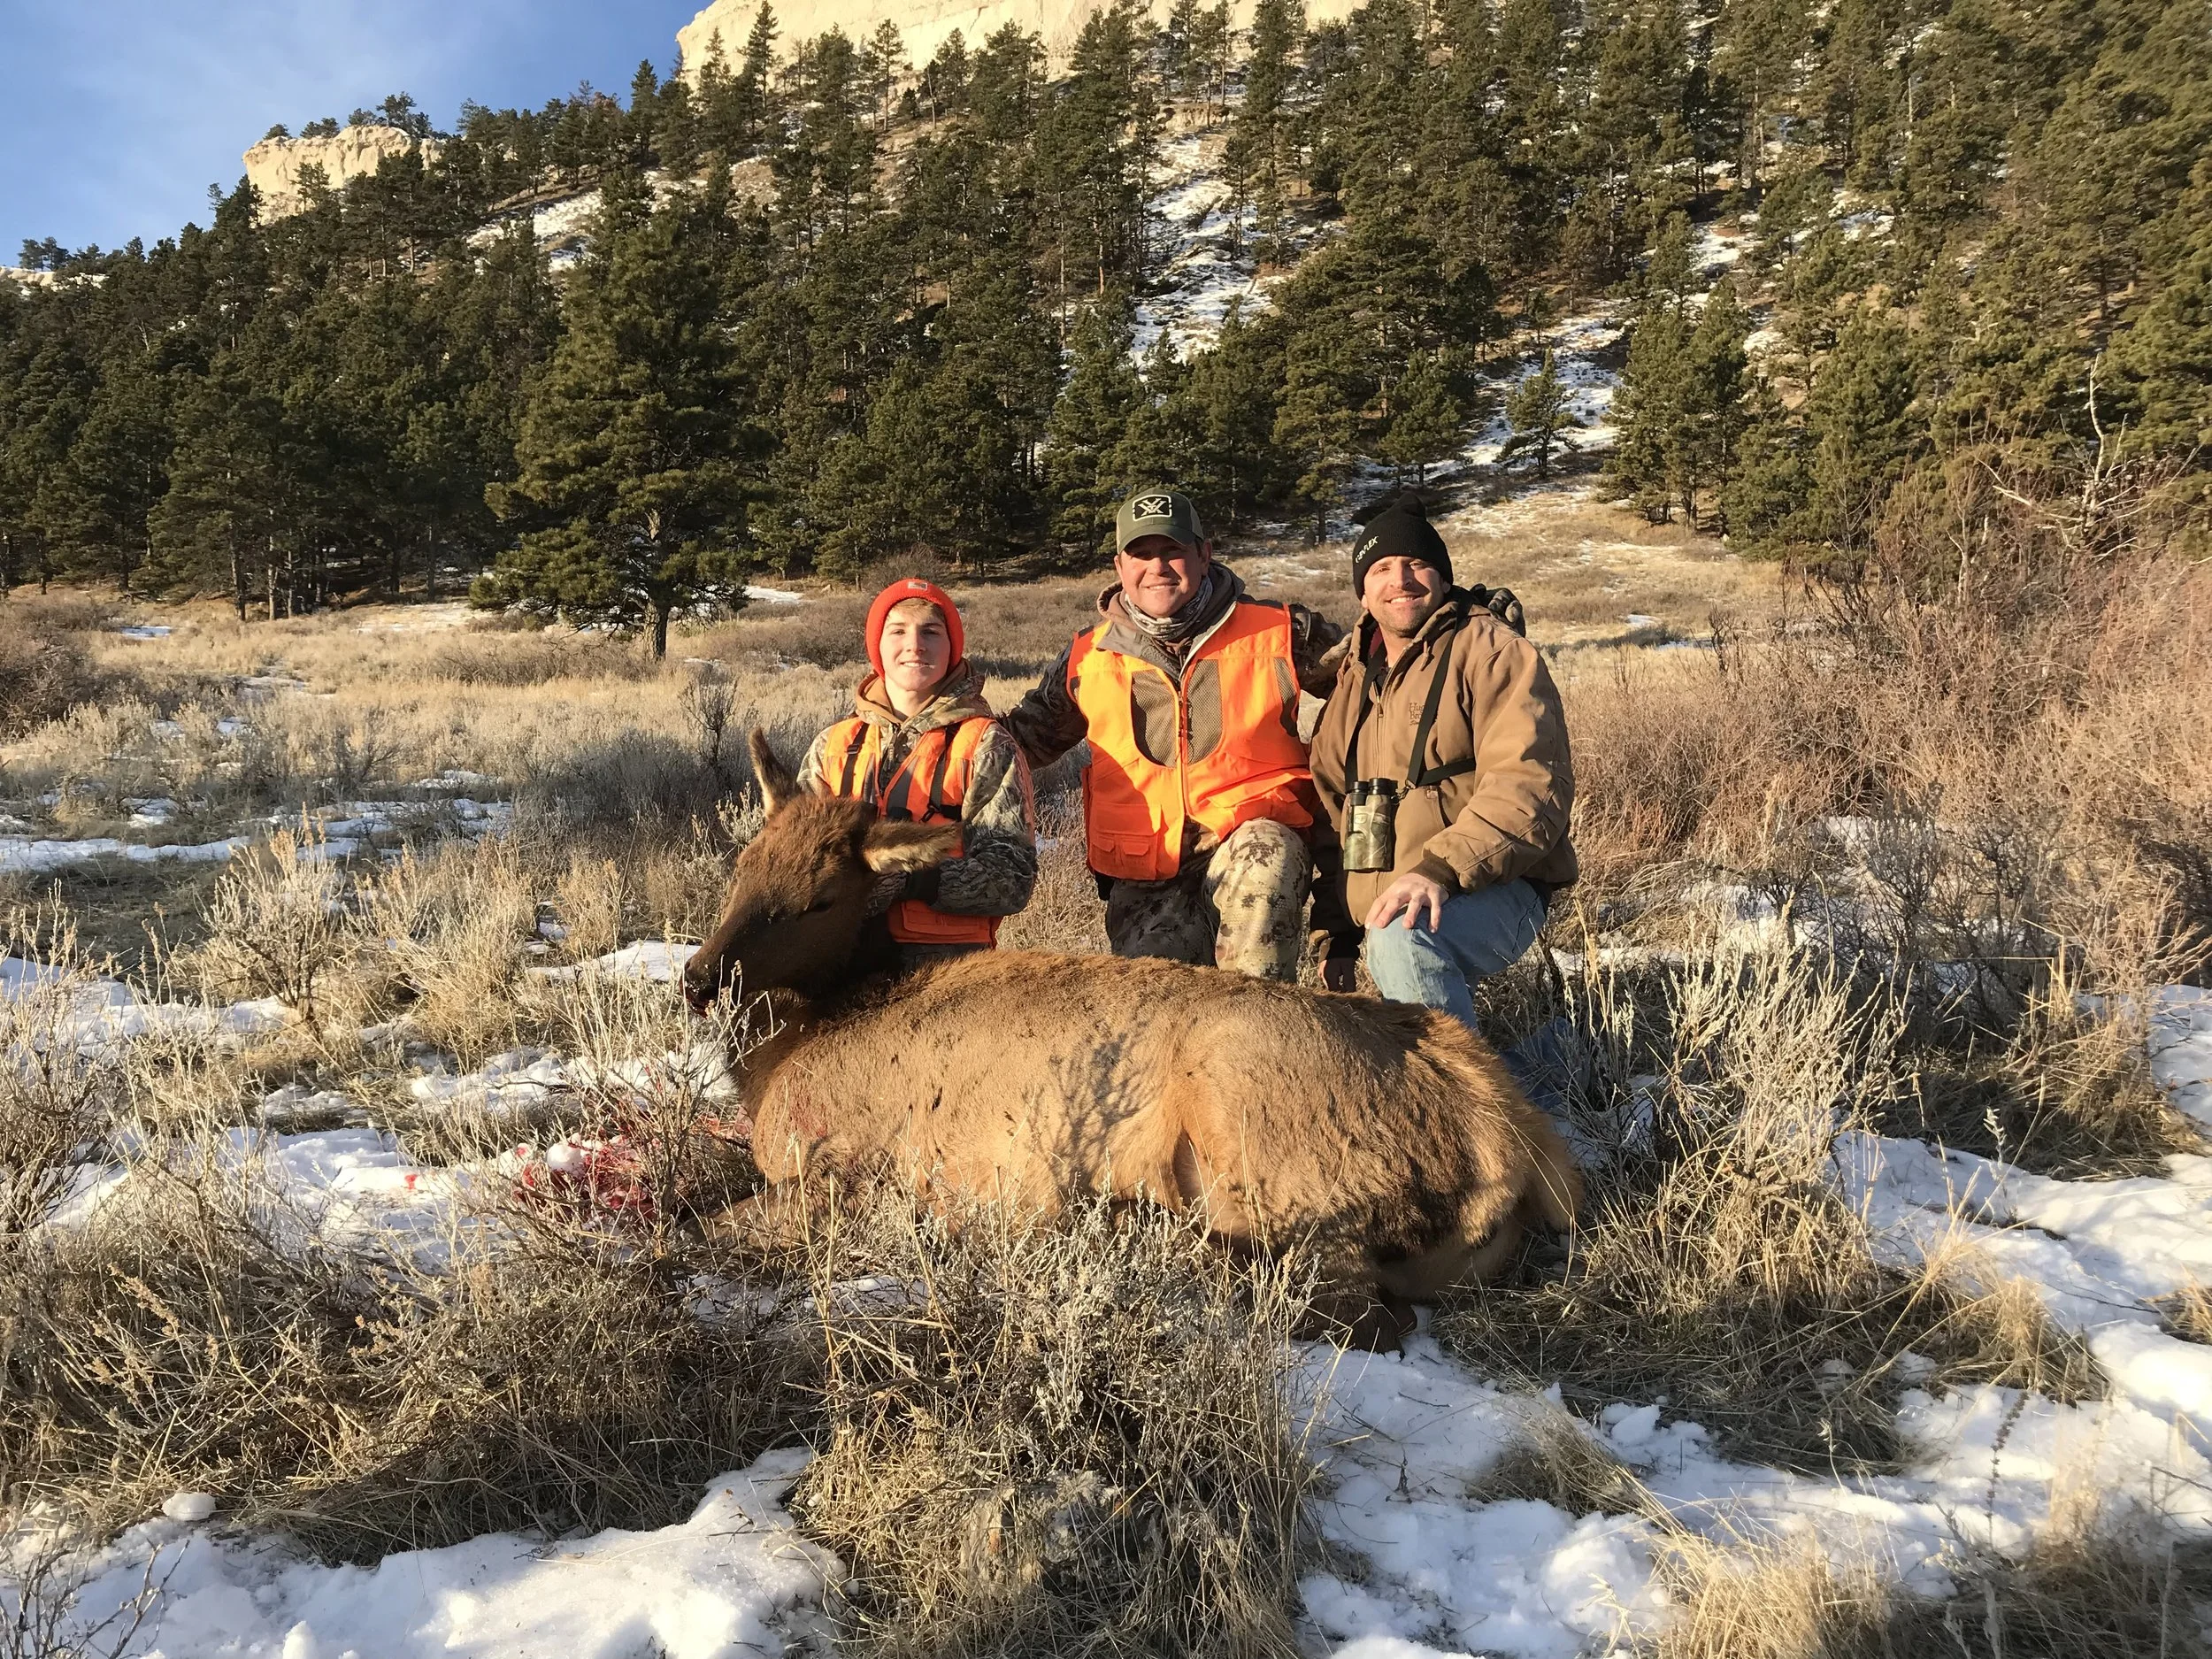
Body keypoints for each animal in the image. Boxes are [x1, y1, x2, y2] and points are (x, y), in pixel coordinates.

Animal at [683, 730, 1579, 1350]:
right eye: (744, 861)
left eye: (821, 896)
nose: (696, 977)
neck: (787, 1050)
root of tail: (1513, 1140)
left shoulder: (849, 1168)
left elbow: (705, 1223)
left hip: (1262, 1133)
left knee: (1345, 1308)